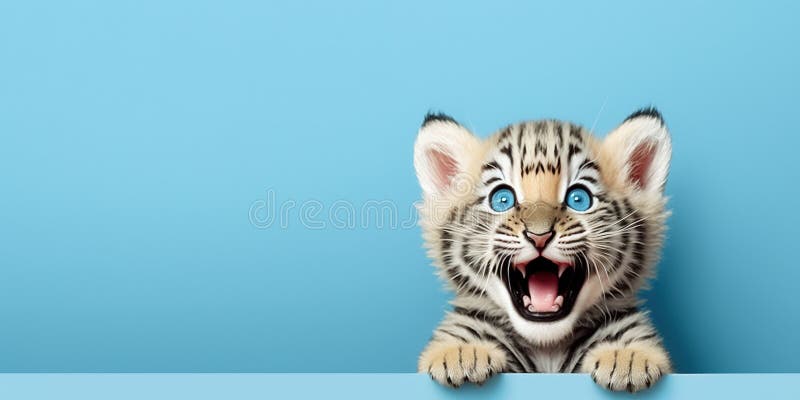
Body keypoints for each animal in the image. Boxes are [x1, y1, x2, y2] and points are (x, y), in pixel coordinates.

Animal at [414, 108, 672, 392]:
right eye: (502, 199)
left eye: (579, 199)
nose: (539, 236)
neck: (547, 346)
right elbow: (463, 331)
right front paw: (463, 353)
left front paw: (626, 357)